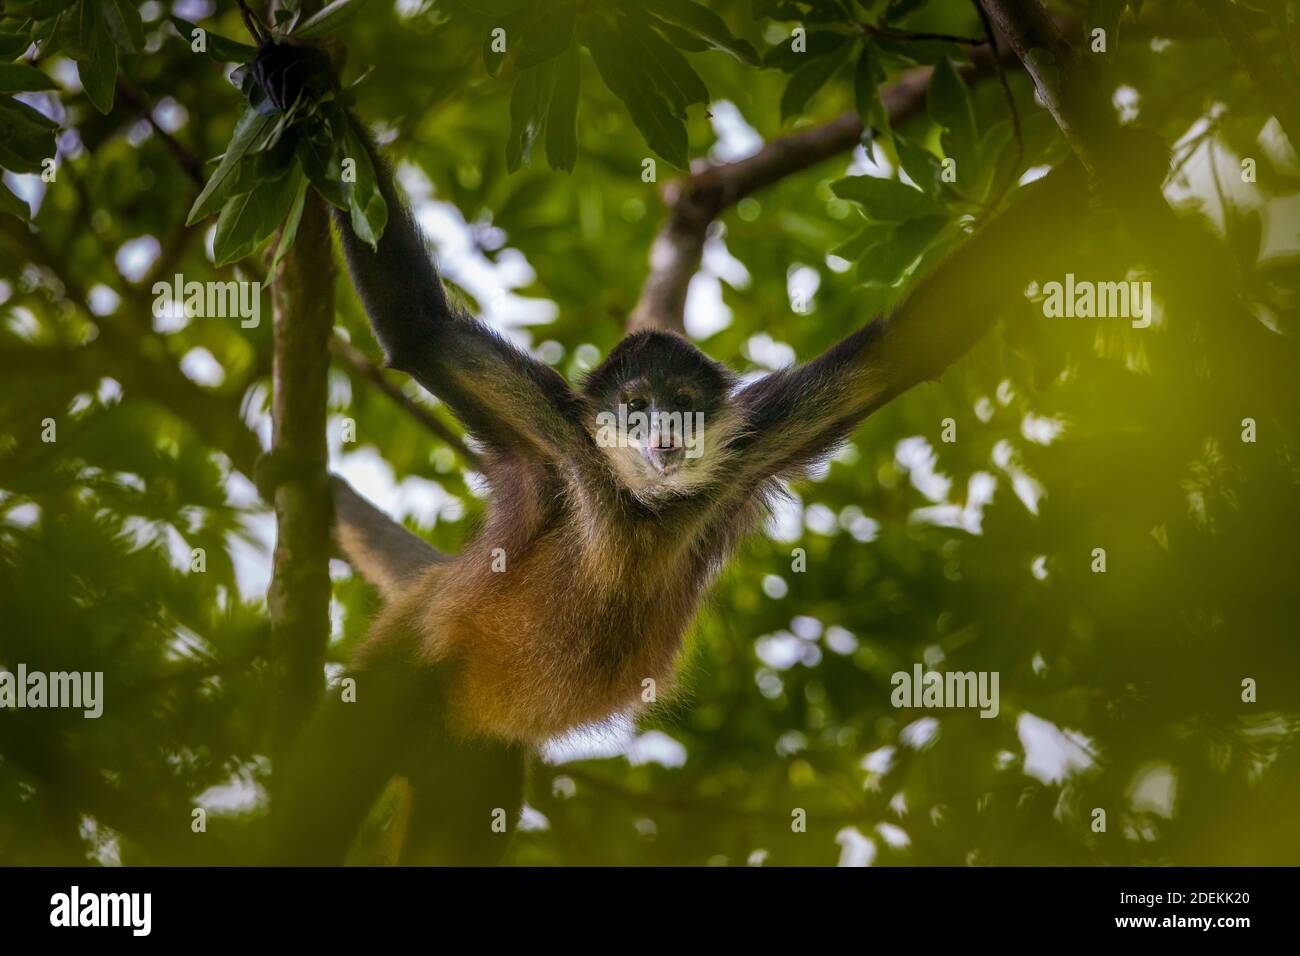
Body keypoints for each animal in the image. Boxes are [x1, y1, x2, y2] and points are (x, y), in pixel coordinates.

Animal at [257, 42, 904, 865]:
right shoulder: (555, 444)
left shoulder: (750, 449)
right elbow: (422, 331)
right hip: (400, 677)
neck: (640, 510)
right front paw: (301, 83)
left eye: (683, 406)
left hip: (475, 759)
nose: (663, 436)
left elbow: (899, 354)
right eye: (635, 406)